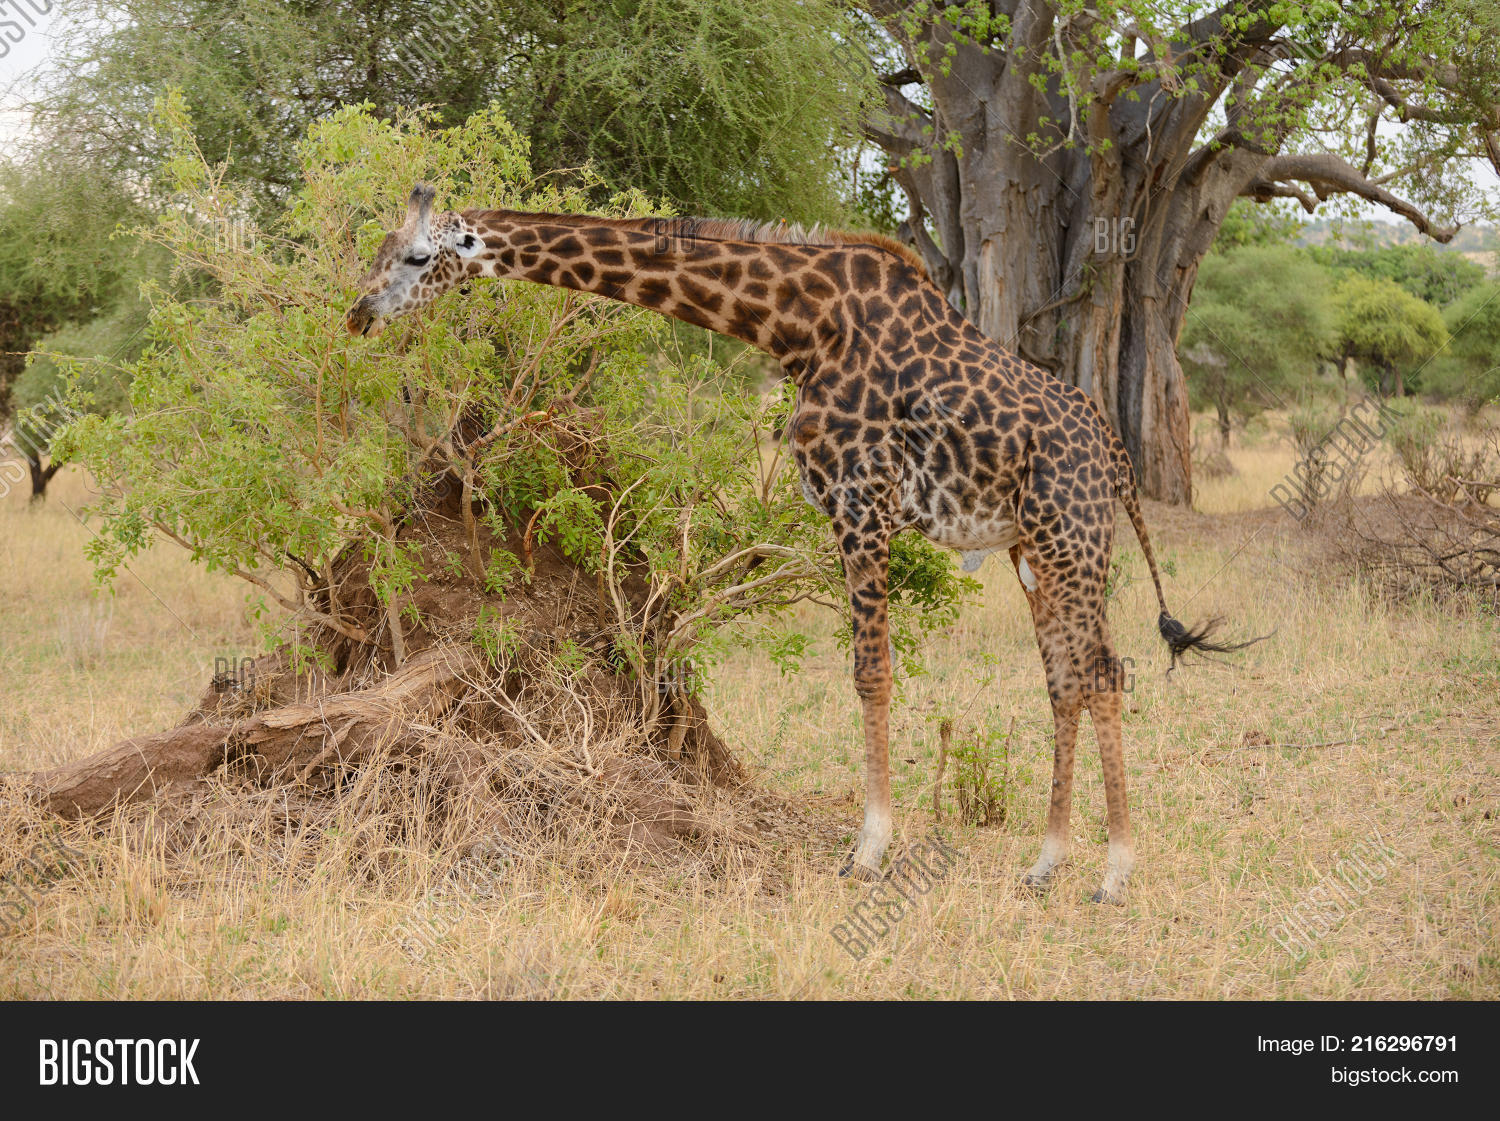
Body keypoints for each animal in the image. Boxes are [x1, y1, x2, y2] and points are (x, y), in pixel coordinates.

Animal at [346, 184, 1261, 903]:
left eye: (418, 258)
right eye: (381, 250)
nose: (357, 313)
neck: (797, 323)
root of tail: (1115, 453)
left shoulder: (861, 502)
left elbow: (870, 673)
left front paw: (869, 850)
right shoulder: (857, 511)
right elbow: (877, 673)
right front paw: (880, 842)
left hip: (1072, 539)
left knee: (1105, 673)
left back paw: (1113, 872)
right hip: (1030, 548)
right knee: (1066, 680)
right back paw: (1045, 864)